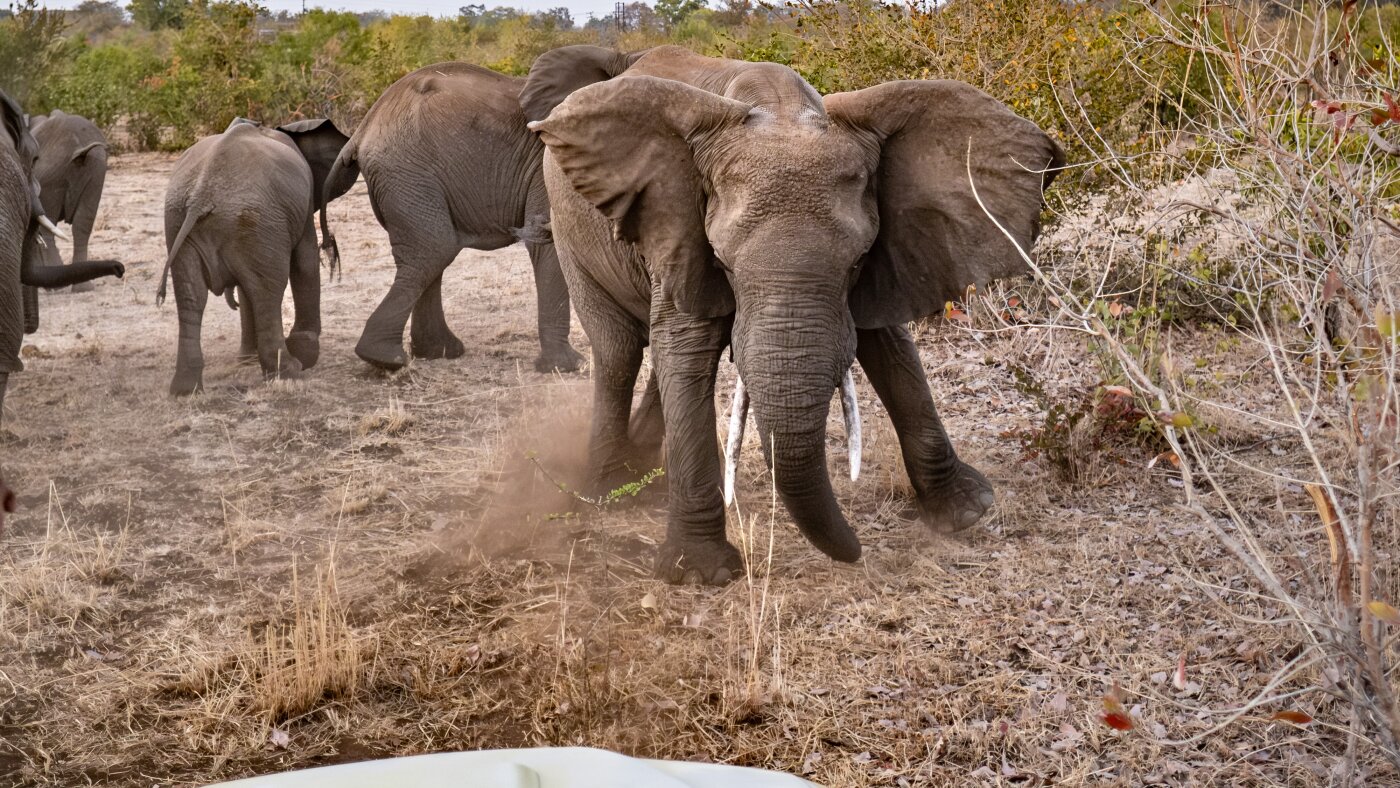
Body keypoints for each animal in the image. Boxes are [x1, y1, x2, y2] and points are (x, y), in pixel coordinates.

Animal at [27, 110, 108, 302]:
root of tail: (80, 149)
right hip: (96, 170)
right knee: (82, 225)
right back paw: (82, 287)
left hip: (50, 177)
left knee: (47, 228)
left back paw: (57, 287)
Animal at [157, 117, 349, 395]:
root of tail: (200, 196)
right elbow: (305, 262)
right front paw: (306, 353)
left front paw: (247, 360)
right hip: (256, 221)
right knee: (268, 292)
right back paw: (289, 371)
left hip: (184, 221)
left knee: (192, 296)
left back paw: (185, 390)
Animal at [321, 53, 644, 373]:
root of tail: (361, 131)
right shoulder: (550, 163)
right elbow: (549, 243)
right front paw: (567, 367)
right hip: (406, 172)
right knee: (432, 251)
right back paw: (387, 359)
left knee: (431, 253)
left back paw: (437, 352)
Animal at [528, 47, 1064, 585]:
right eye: (722, 261)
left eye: (857, 262)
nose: (859, 552)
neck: (781, 109)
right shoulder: (679, 231)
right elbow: (685, 349)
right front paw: (700, 574)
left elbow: (891, 349)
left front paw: (968, 510)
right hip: (569, 231)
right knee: (619, 353)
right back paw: (608, 491)